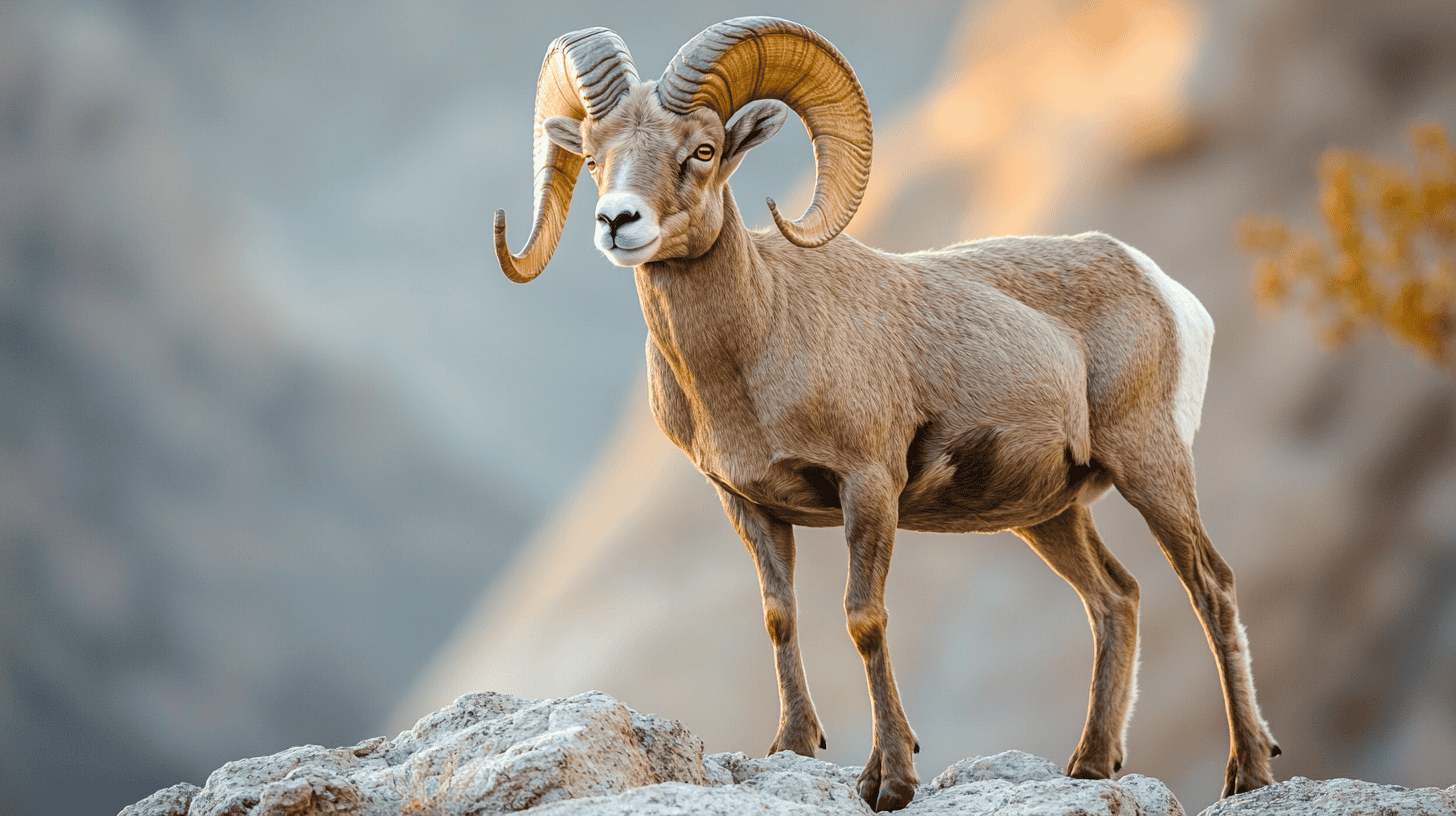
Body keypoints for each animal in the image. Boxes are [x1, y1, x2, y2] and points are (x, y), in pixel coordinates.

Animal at [493, 16, 1279, 812]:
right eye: (595, 158)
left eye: (703, 151)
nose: (617, 222)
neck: (758, 346)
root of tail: (1163, 289)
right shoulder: (748, 504)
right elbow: (779, 616)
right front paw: (793, 747)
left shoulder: (868, 488)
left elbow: (863, 619)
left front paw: (891, 779)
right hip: (1049, 513)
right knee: (1116, 598)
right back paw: (1090, 766)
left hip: (1150, 464)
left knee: (1210, 586)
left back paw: (1248, 772)